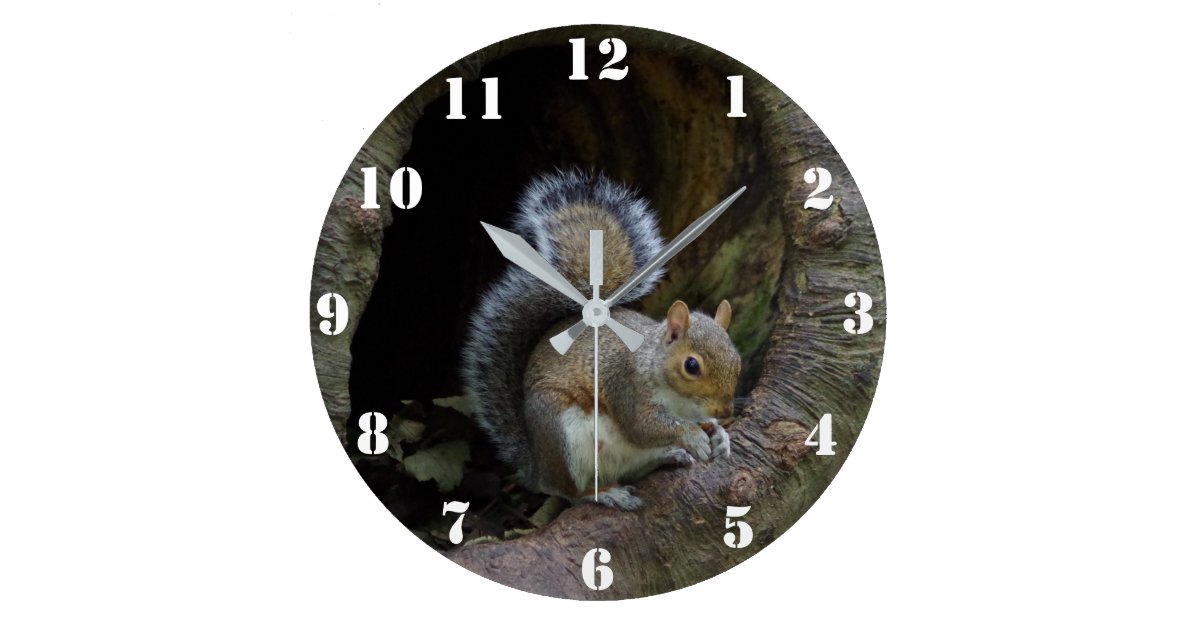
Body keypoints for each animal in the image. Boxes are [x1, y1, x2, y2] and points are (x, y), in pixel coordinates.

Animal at [461, 170, 742, 510]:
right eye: (691, 366)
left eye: (737, 360)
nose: (725, 411)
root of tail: (538, 467)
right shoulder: (626, 386)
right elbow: (642, 425)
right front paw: (691, 436)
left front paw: (720, 436)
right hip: (564, 437)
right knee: (571, 492)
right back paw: (607, 494)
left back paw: (668, 456)